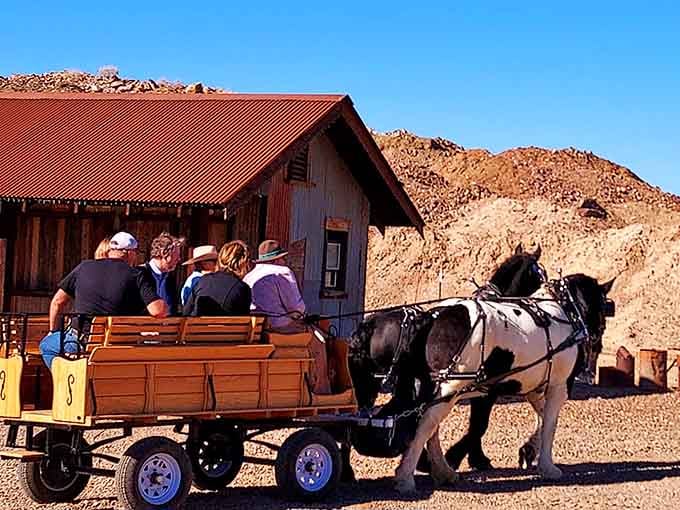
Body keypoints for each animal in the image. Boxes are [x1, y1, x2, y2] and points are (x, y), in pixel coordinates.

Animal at [344, 243, 544, 481]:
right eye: (541, 274)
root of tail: (371, 325)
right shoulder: (486, 391)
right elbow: (478, 426)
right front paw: (465, 458)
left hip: (368, 386)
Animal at [392, 274, 615, 494]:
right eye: (603, 308)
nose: (597, 342)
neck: (563, 312)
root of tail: (435, 315)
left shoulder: (534, 388)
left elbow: (542, 417)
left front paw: (529, 450)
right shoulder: (558, 386)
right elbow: (550, 424)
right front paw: (547, 466)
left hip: (436, 387)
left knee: (431, 427)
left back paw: (442, 472)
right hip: (449, 387)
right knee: (426, 424)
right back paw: (406, 477)